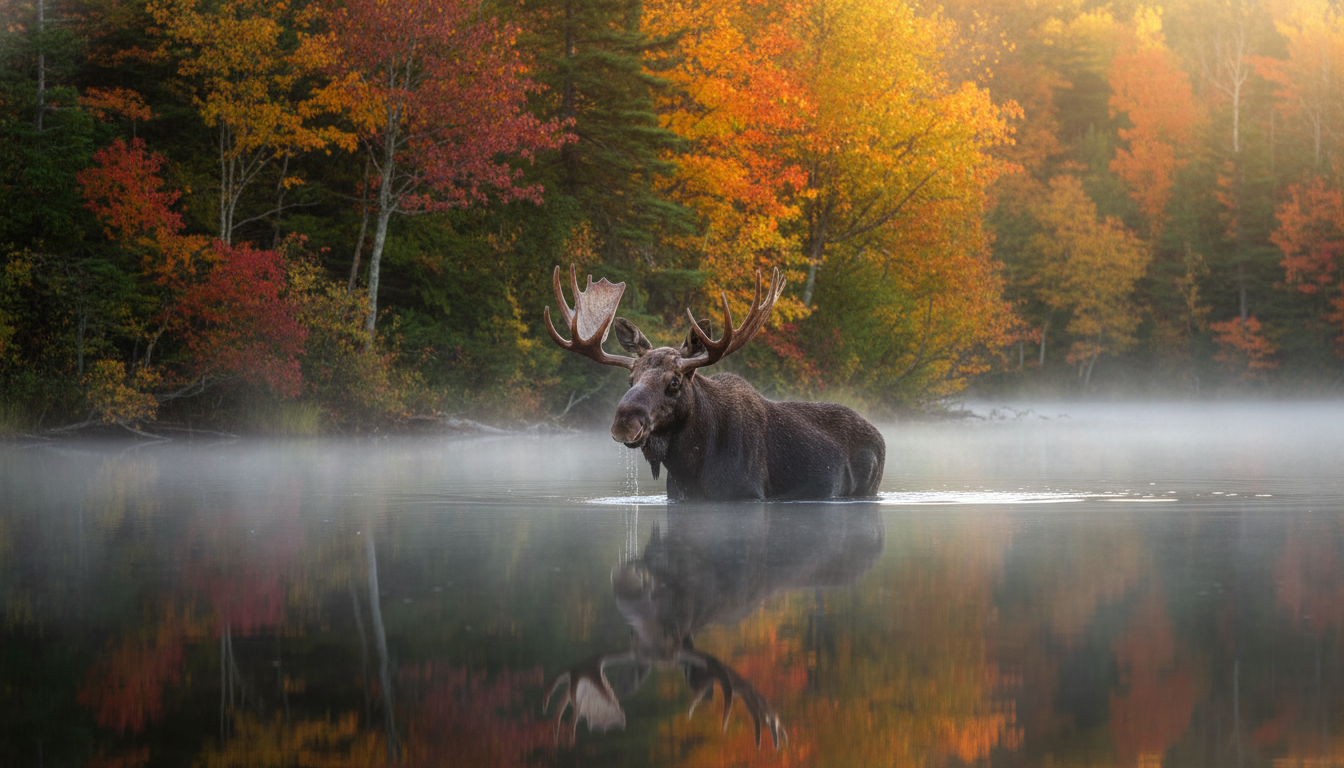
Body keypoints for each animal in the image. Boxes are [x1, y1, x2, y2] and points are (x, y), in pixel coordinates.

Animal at [544, 264, 886, 500]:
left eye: (674, 382)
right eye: (631, 378)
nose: (625, 422)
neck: (689, 465)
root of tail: (880, 436)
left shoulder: (746, 493)